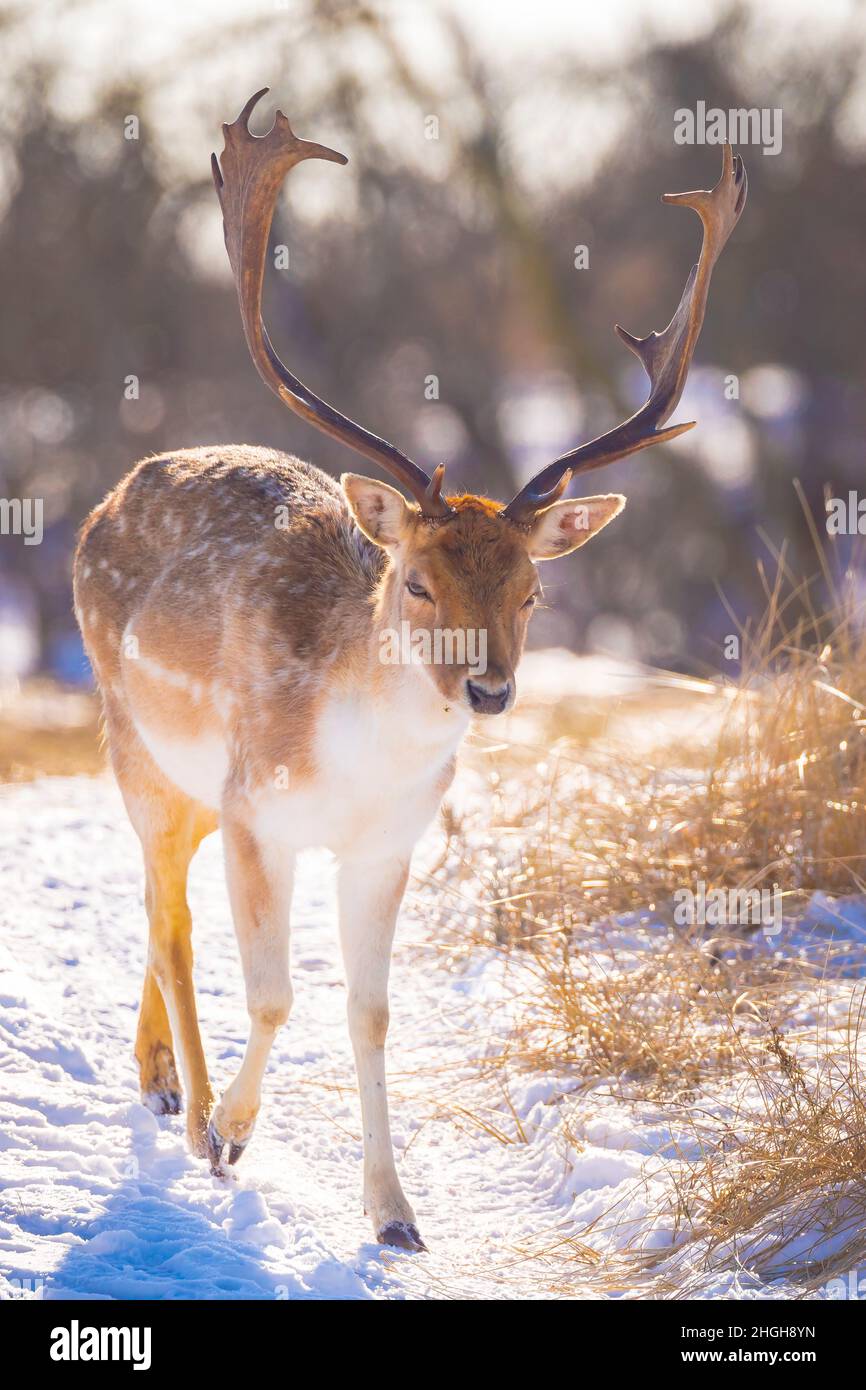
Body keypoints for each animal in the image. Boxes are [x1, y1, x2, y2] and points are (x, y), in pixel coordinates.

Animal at [73, 90, 746, 1251]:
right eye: (419, 584)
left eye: (532, 591)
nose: (488, 689)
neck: (350, 766)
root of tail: (102, 503)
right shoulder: (259, 809)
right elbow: (274, 994)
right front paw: (233, 1137)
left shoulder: (386, 843)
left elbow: (369, 1010)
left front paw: (393, 1215)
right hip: (134, 741)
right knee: (170, 923)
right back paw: (193, 1113)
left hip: (188, 786)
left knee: (164, 908)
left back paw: (158, 1080)